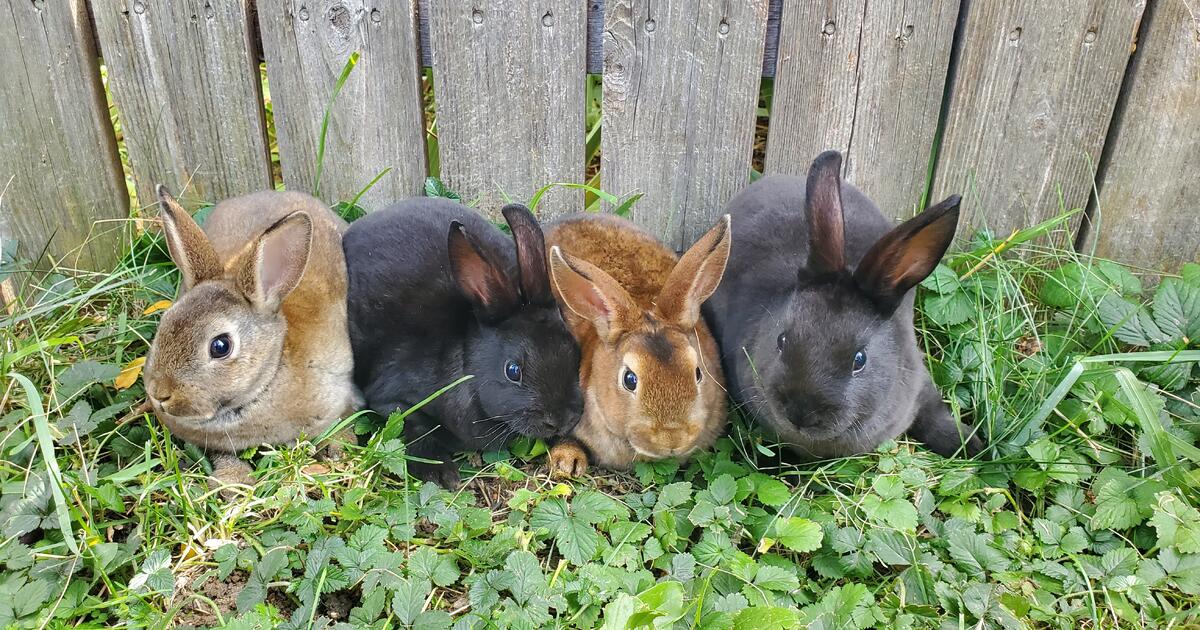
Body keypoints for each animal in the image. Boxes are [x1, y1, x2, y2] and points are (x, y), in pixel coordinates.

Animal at [343, 198, 584, 488]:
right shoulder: (391, 397)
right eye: (513, 371)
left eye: (575, 351)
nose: (563, 420)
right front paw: (440, 474)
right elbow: (415, 426)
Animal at [704, 150, 984, 460]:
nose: (800, 414)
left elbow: (935, 415)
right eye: (782, 340)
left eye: (859, 360)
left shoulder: (921, 386)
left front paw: (971, 445)